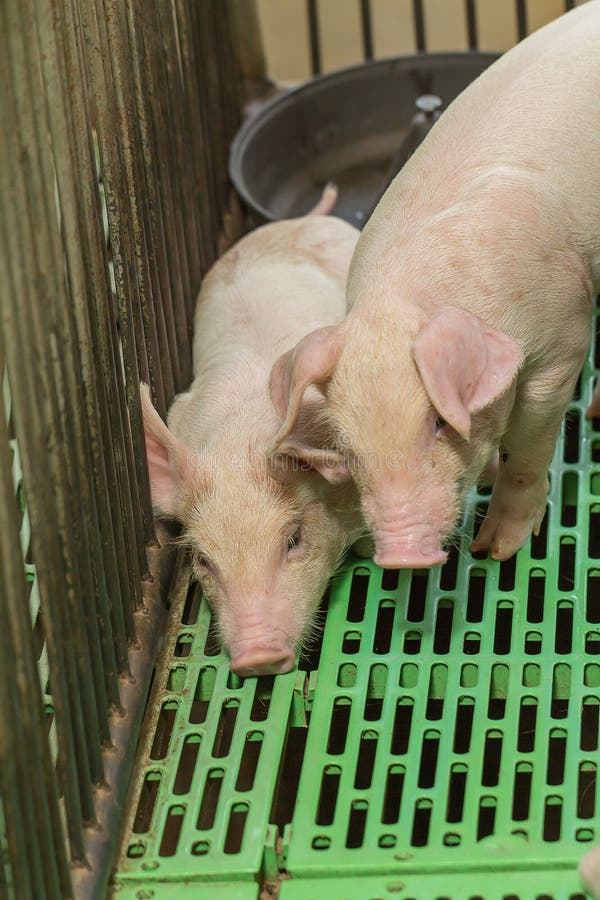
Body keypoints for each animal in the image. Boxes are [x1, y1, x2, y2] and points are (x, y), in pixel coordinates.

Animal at [270, 2, 600, 568]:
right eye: (350, 447)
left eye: (439, 424)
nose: (402, 556)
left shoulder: (563, 341)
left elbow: (529, 448)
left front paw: (496, 551)